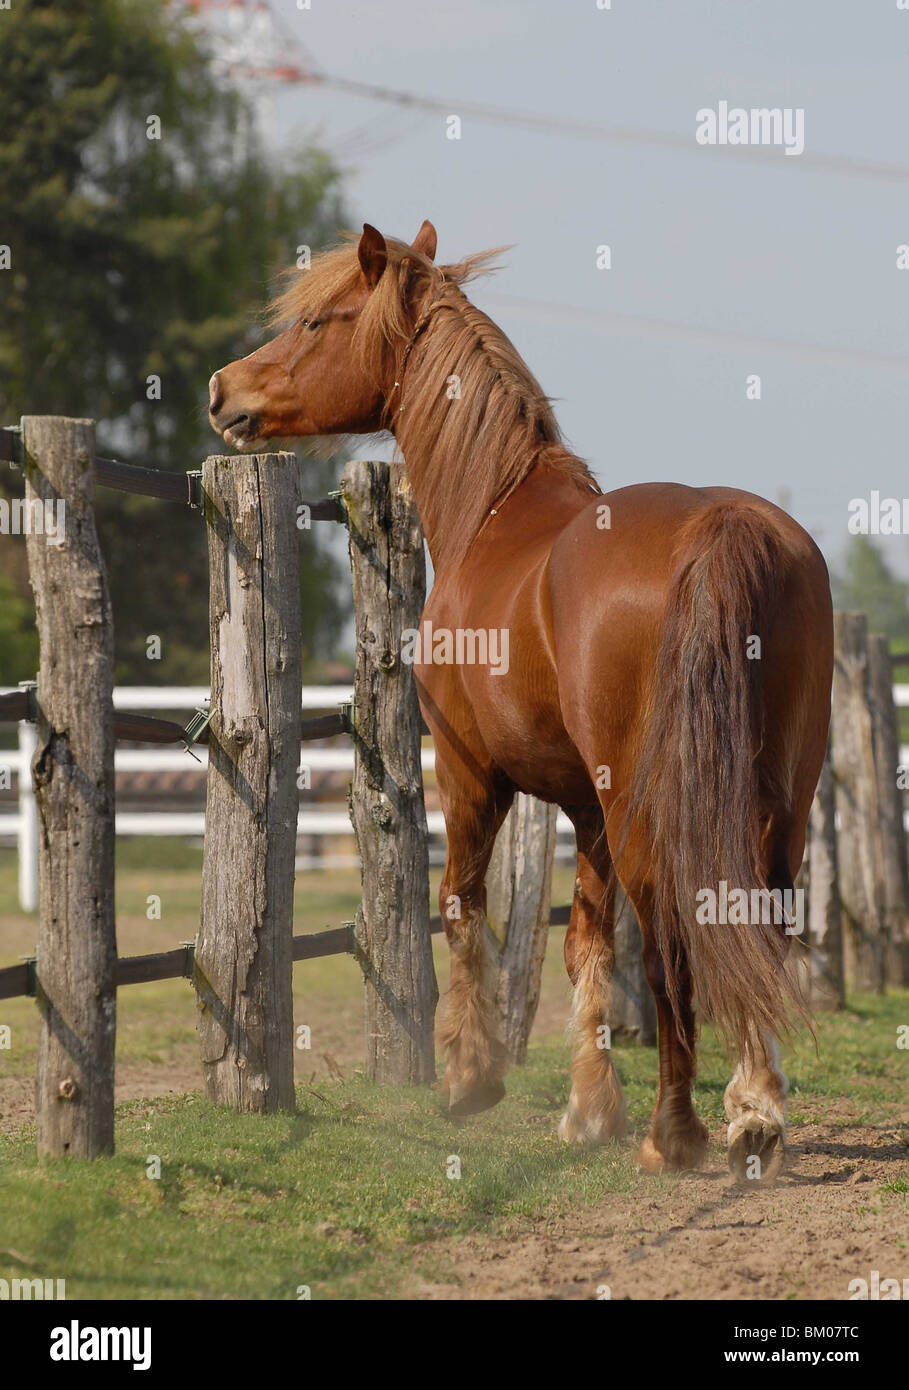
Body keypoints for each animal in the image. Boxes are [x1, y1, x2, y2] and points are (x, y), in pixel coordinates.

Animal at [208, 220, 833, 1181]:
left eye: (314, 322)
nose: (220, 391)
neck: (492, 512)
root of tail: (720, 527)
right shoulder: (583, 810)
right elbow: (582, 944)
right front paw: (587, 1108)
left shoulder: (470, 777)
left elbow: (462, 910)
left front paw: (471, 1079)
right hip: (777, 801)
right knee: (756, 914)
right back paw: (753, 1112)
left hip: (643, 801)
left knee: (669, 940)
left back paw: (675, 1134)